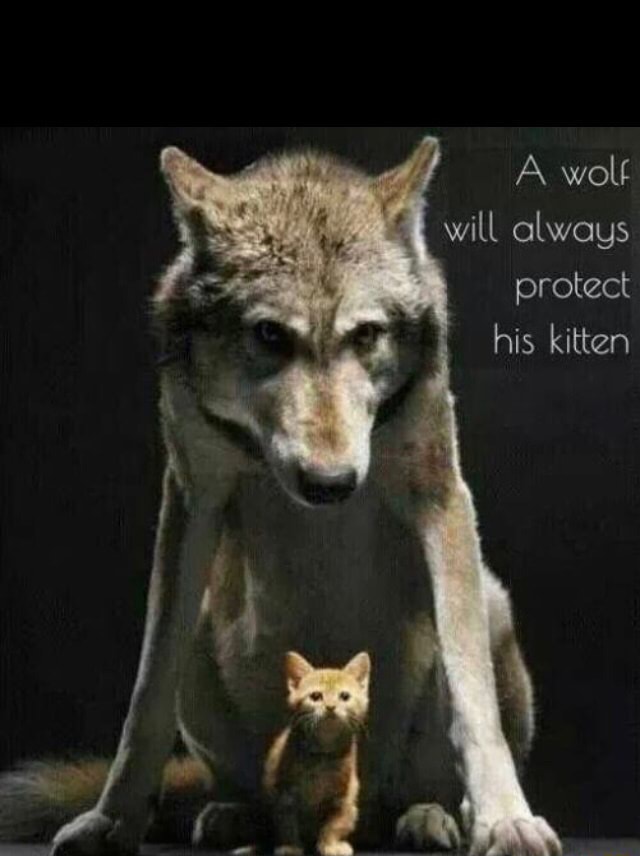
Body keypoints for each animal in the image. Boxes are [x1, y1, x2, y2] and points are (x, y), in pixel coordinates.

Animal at [0, 139, 561, 856]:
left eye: (365, 336)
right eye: (270, 335)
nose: (331, 485)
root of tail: (361, 808)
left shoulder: (440, 494)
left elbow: (473, 702)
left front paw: (504, 818)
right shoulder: (193, 497)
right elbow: (145, 697)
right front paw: (111, 819)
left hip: (492, 606)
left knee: (420, 782)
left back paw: (427, 818)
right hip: (204, 625)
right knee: (241, 781)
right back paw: (232, 815)